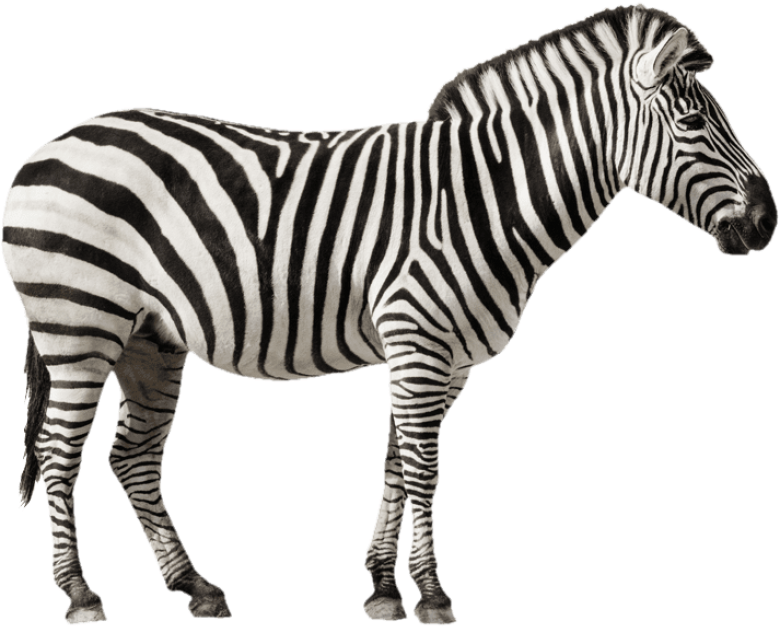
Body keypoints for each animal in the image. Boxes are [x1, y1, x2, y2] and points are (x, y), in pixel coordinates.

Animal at [3, 3, 775, 625]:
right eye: (691, 121)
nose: (768, 223)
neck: (484, 196)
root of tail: (50, 145)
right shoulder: (418, 338)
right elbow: (425, 468)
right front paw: (431, 594)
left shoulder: (444, 358)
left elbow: (397, 462)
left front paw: (381, 588)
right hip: (79, 324)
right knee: (60, 452)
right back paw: (81, 595)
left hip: (148, 337)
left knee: (131, 455)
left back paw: (195, 585)